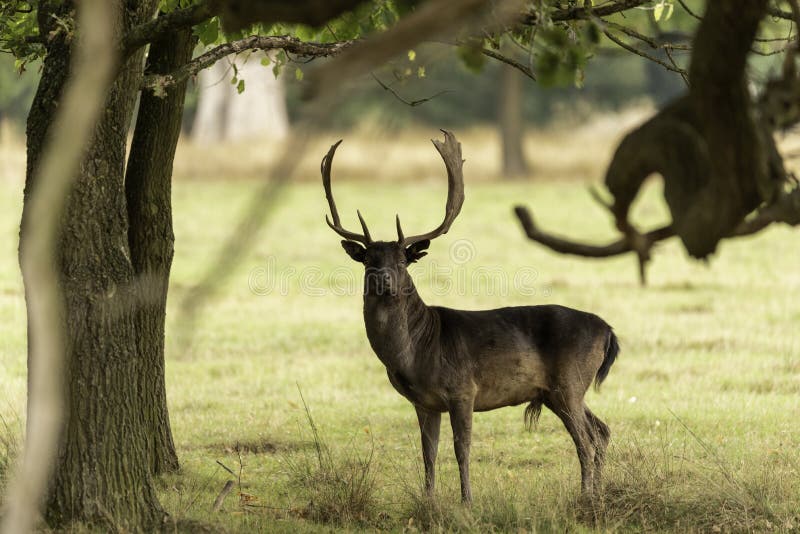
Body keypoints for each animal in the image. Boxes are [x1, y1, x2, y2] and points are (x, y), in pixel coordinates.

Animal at [321, 130, 619, 503]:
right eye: (368, 261)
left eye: (403, 261)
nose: (384, 279)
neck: (418, 352)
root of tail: (608, 331)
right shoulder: (425, 402)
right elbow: (428, 452)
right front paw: (429, 500)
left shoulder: (463, 388)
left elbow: (461, 448)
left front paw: (467, 501)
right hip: (558, 391)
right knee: (602, 430)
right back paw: (599, 492)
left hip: (570, 381)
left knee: (585, 440)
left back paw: (585, 496)